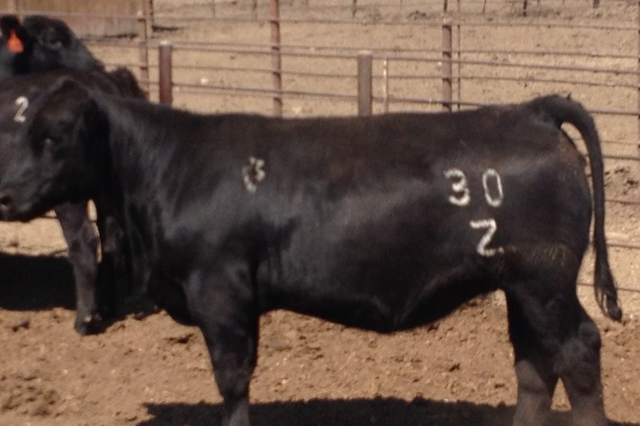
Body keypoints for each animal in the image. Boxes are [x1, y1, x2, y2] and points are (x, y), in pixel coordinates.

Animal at [0, 14, 144, 334]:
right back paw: (107, 307)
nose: (95, 62)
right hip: (105, 191)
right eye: (53, 40)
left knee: (85, 242)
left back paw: (84, 319)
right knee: (111, 237)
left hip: (69, 194)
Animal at [0, 77, 622, 426]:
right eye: (21, 130)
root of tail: (530, 109)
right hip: (520, 287)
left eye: (53, 135)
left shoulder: (221, 294)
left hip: (544, 283)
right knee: (534, 366)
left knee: (578, 351)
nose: (4, 194)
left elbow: (233, 383)